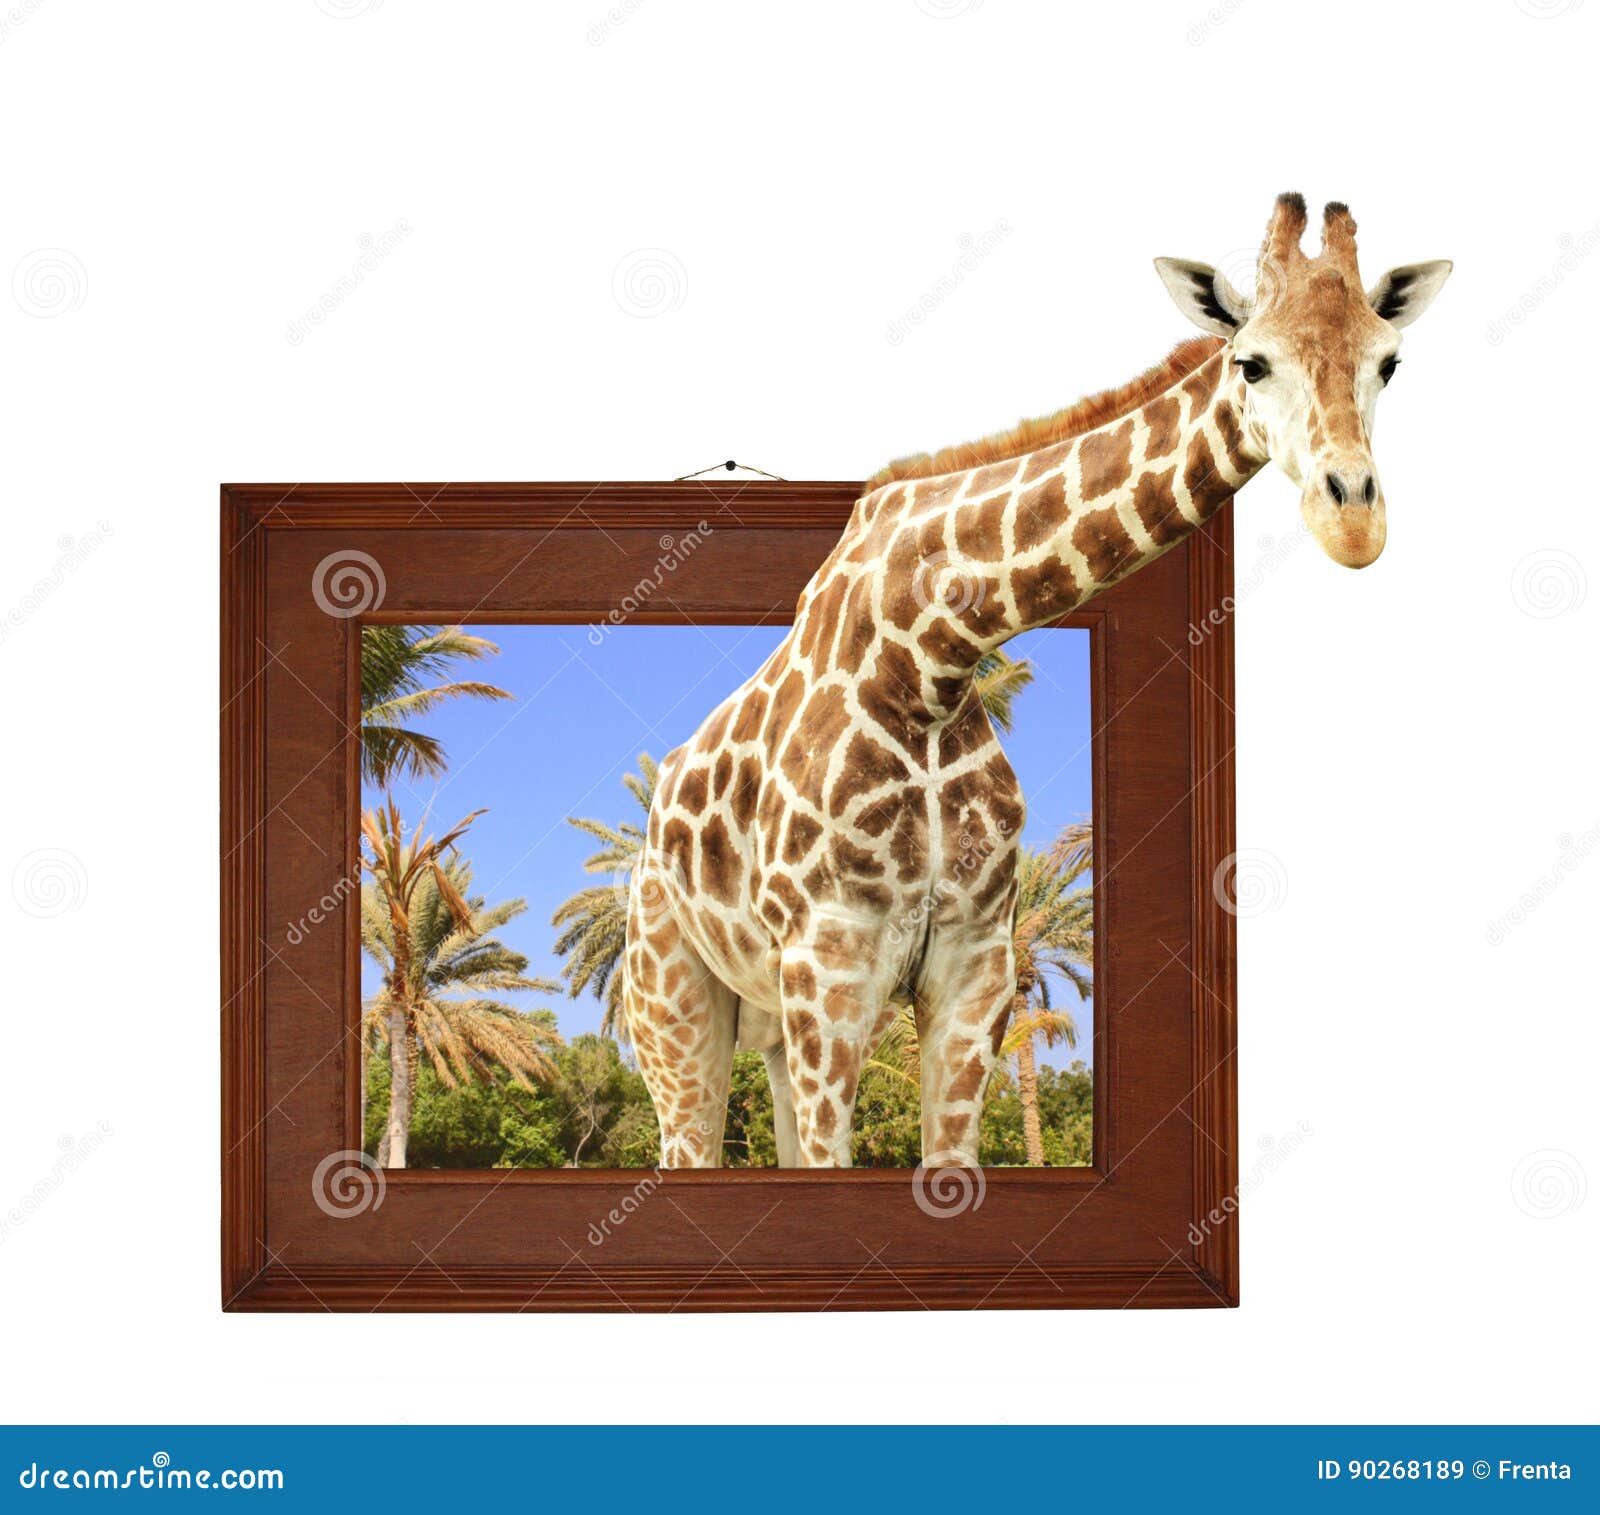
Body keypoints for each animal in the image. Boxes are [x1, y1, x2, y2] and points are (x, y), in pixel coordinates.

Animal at [623, 194, 1451, 1168]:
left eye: (1388, 362)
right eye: (1252, 361)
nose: (1353, 523)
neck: (927, 661)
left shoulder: (975, 967)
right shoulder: (831, 961)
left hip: (775, 1030)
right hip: (675, 1005)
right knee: (689, 1135)